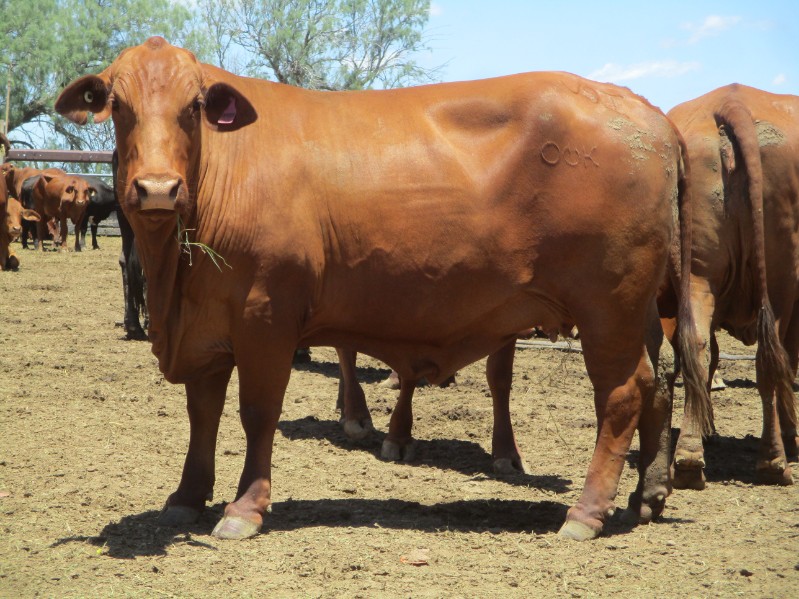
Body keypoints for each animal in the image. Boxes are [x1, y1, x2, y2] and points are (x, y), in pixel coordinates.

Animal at [56, 37, 709, 541]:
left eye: (193, 107)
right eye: (118, 105)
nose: (157, 189)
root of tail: (648, 111)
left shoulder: (266, 315)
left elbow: (256, 412)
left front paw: (244, 508)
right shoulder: (206, 325)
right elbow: (202, 413)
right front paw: (186, 498)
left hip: (608, 307)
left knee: (622, 395)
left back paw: (585, 513)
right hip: (636, 312)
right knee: (657, 387)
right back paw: (645, 498)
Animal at [664, 84, 799, 490]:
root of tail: (733, 101)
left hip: (698, 273)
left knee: (697, 346)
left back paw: (690, 459)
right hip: (781, 282)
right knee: (771, 359)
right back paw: (774, 459)